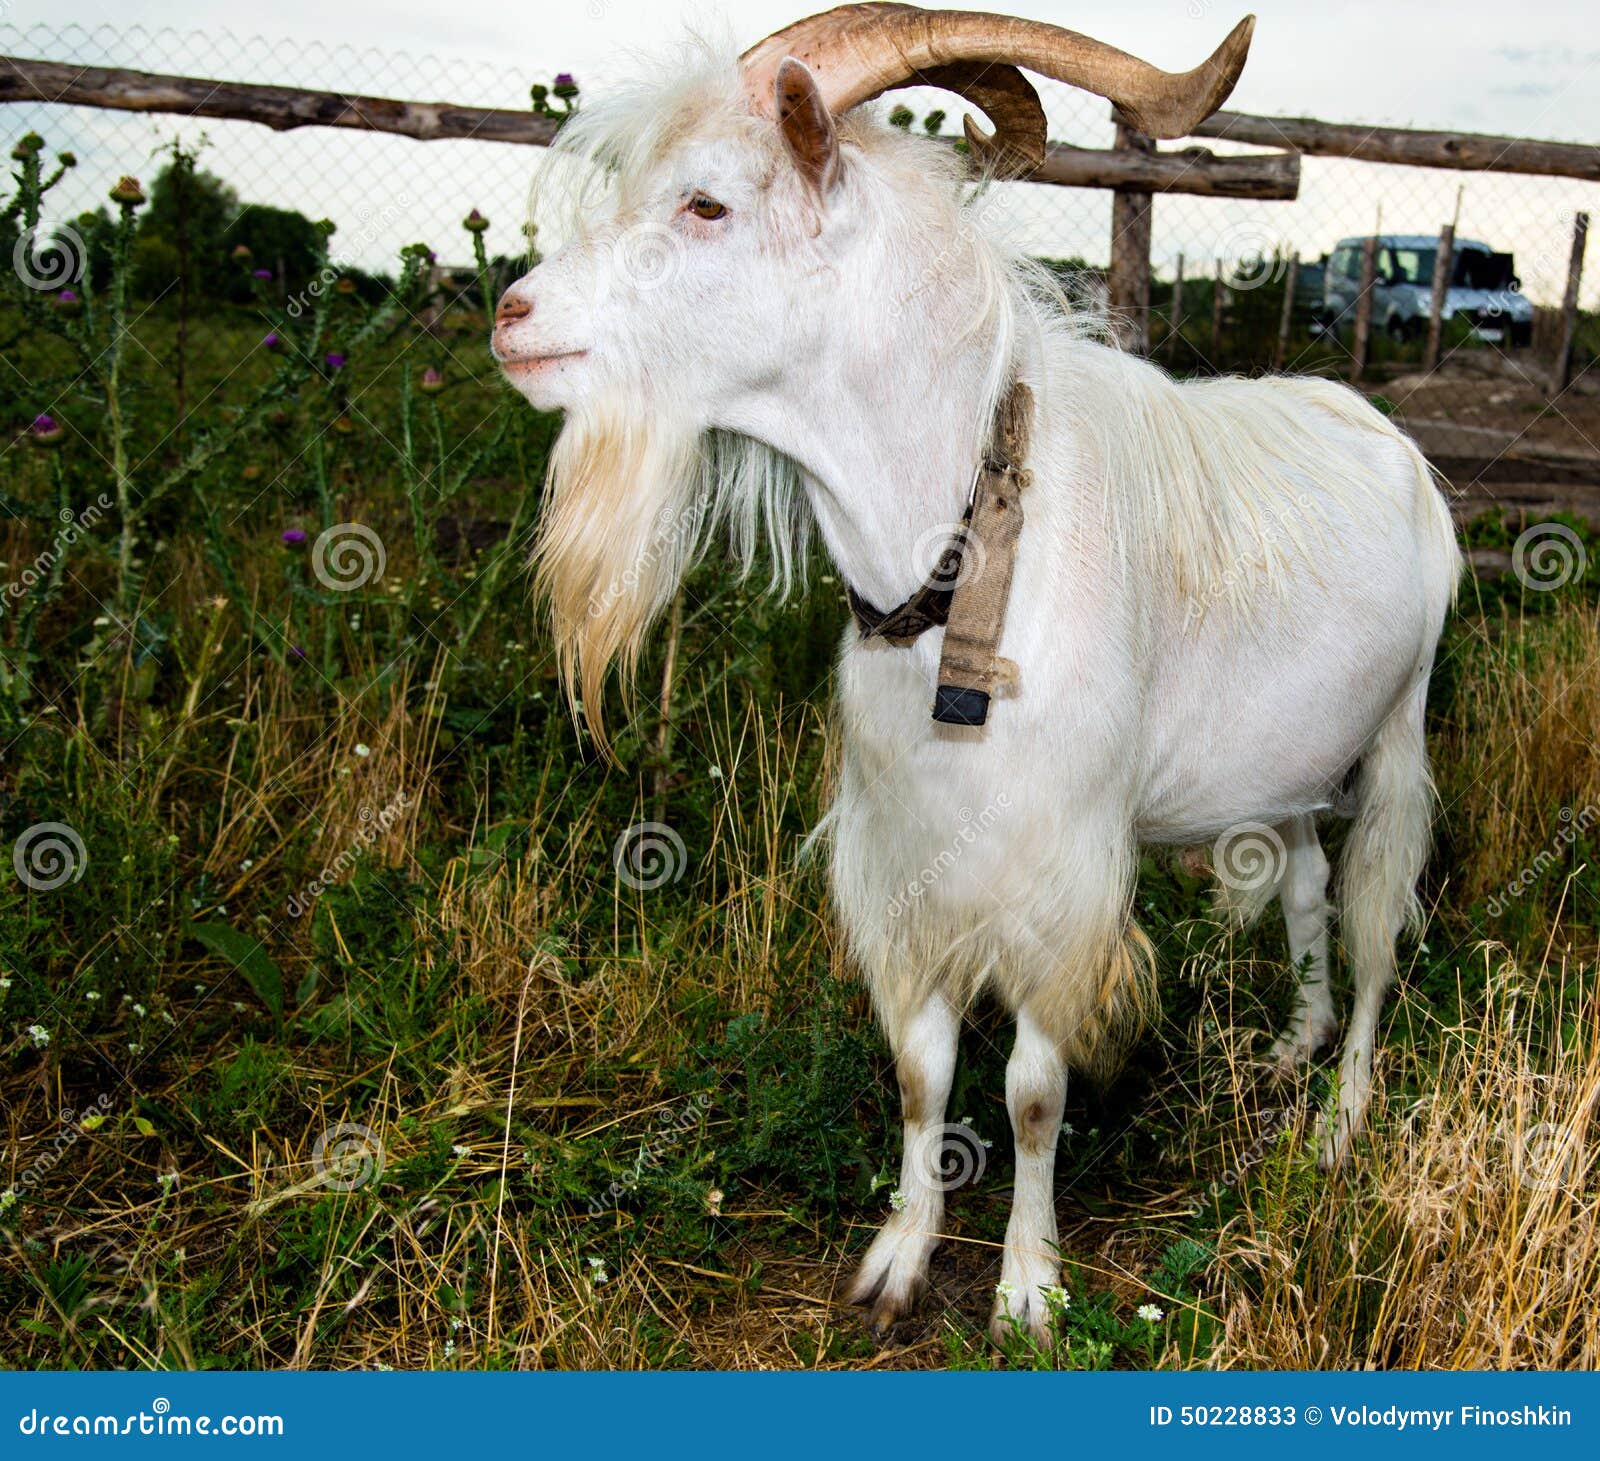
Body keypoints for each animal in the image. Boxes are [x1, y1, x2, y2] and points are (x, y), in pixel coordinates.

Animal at [494, 6, 1463, 1345]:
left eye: (705, 204)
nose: (512, 318)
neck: (962, 555)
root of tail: (1381, 433)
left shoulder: (1063, 872)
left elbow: (1033, 1091)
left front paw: (1027, 1290)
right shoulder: (907, 856)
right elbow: (922, 1070)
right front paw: (898, 1257)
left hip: (1402, 726)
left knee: (1374, 919)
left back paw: (1341, 1117)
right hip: (1288, 763)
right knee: (1310, 883)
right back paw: (1293, 1043)